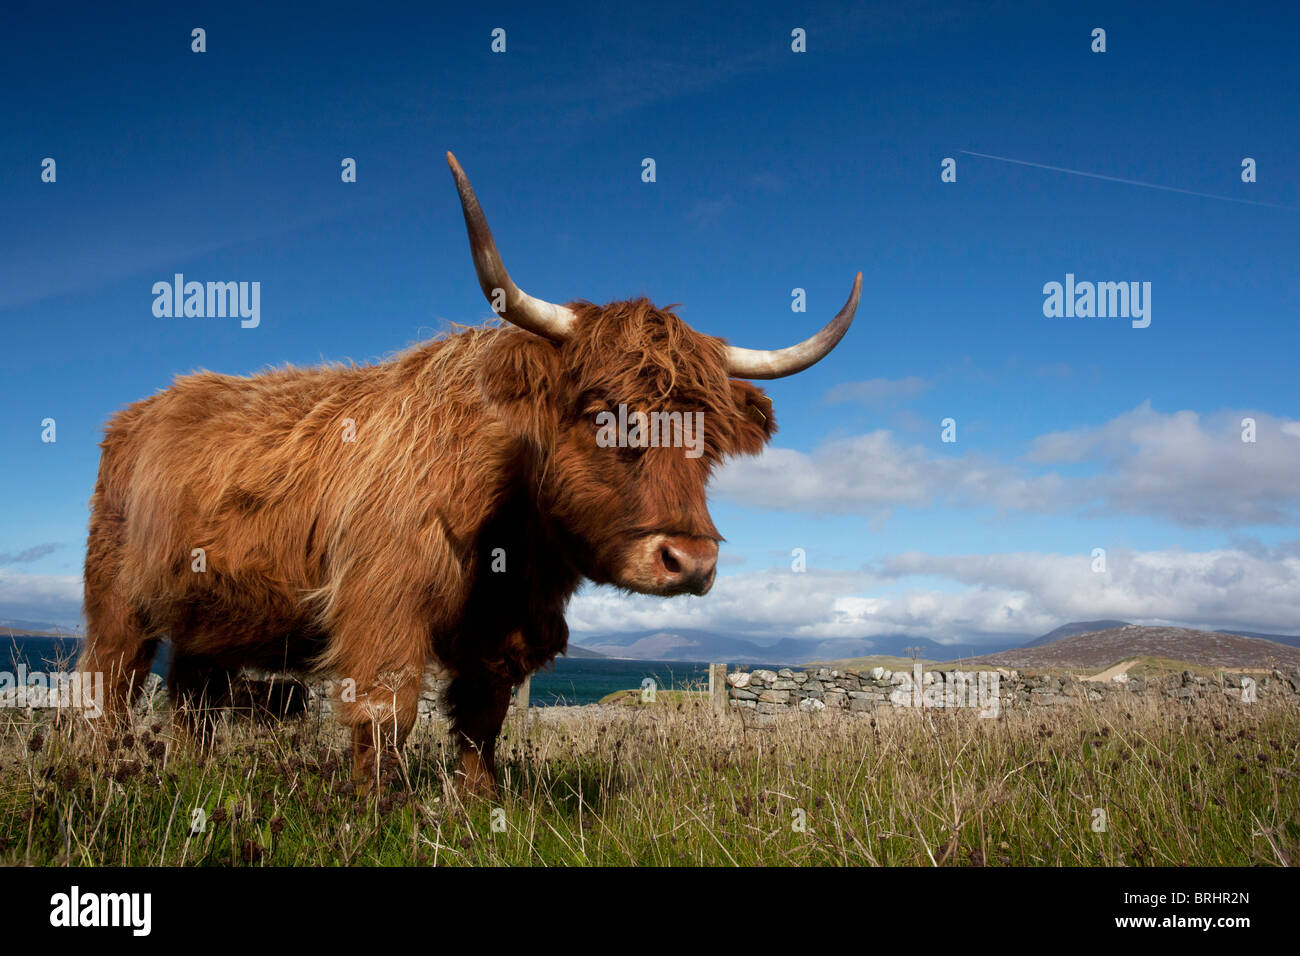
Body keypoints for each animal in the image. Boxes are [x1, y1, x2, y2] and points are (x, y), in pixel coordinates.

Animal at [78, 152, 861, 795]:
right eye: (602, 414)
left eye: (710, 441)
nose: (690, 561)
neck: (507, 527)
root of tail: (149, 405)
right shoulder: (382, 610)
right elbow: (385, 714)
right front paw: (375, 813)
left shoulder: (503, 631)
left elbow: (482, 722)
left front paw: (478, 808)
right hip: (115, 599)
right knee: (109, 682)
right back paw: (106, 772)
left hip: (209, 613)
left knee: (192, 699)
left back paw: (189, 778)